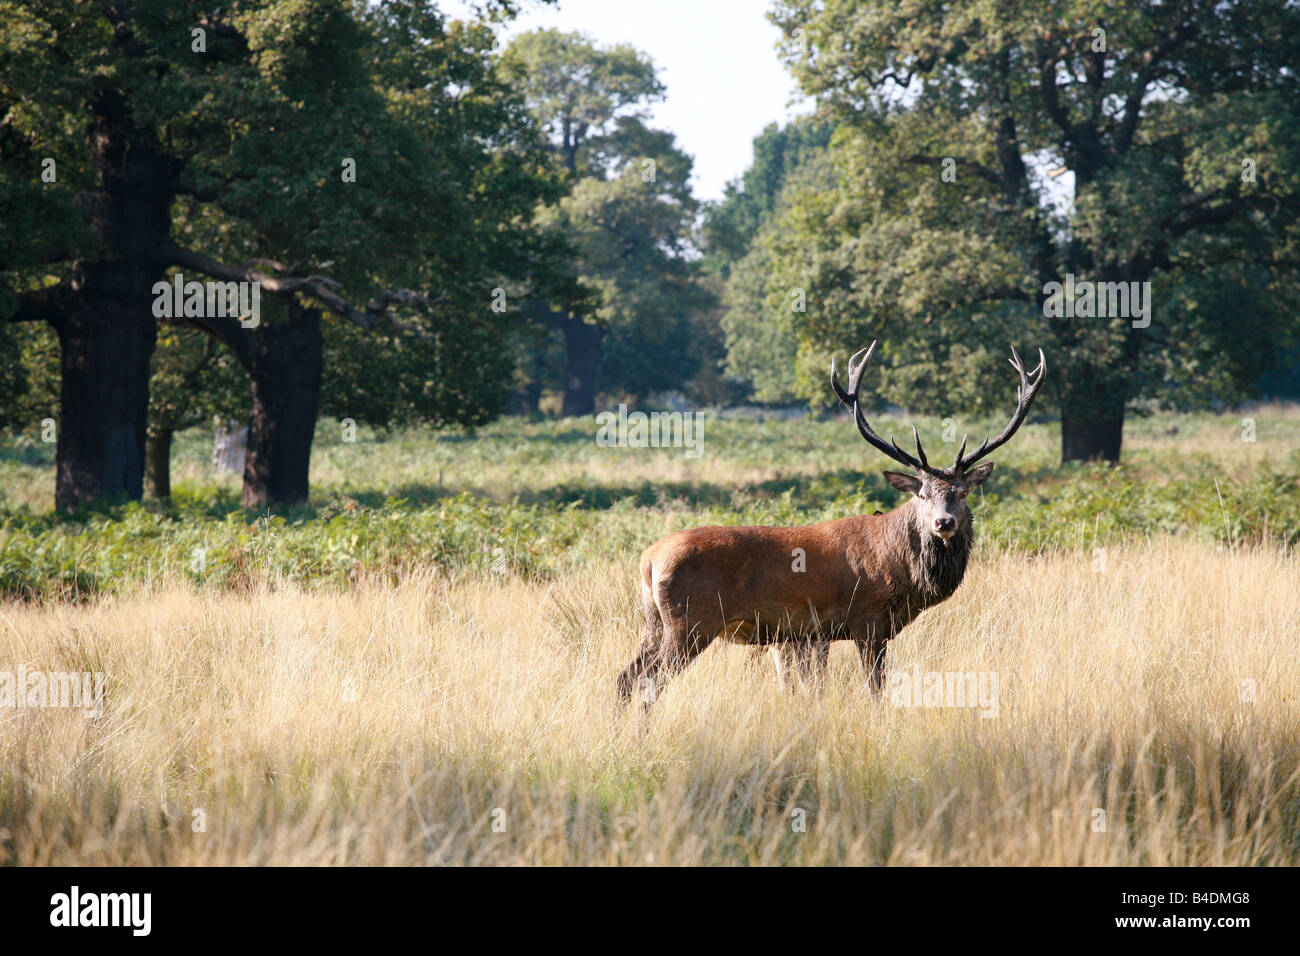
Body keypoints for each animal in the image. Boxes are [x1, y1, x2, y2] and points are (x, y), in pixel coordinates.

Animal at [616, 340, 1046, 707]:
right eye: (921, 493)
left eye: (962, 492)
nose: (944, 522)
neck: (901, 570)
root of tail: (648, 560)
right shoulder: (866, 618)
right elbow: (876, 690)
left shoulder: (813, 634)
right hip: (689, 623)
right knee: (649, 684)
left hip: (655, 622)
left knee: (625, 676)